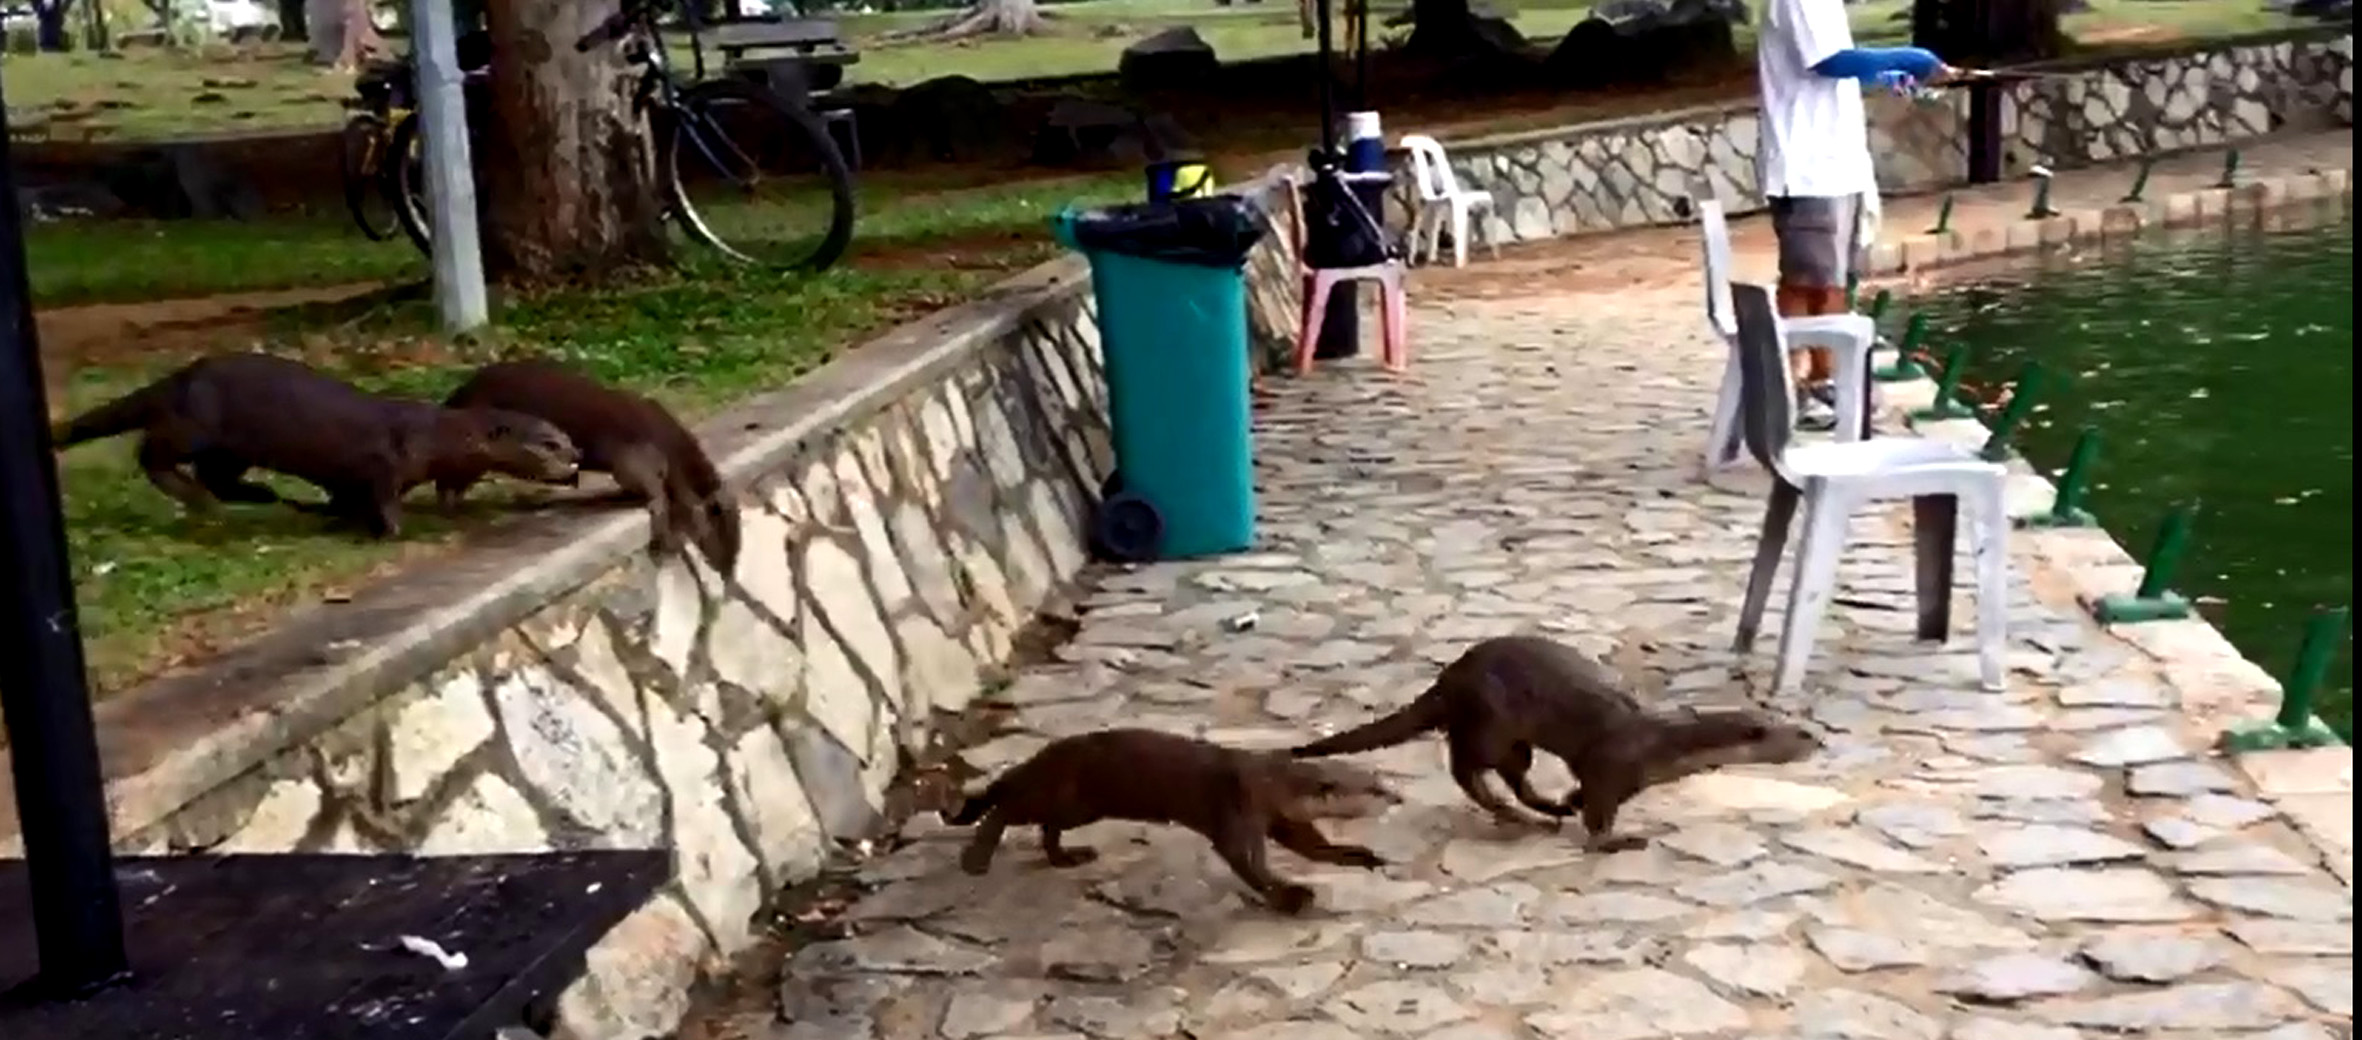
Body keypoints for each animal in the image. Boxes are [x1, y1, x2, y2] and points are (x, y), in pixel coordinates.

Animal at [52, 353, 580, 538]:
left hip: (232, 449)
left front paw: (340, 515)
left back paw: (262, 496)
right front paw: (392, 528)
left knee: (218, 477)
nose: (574, 459)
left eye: (568, 439)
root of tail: (181, 376)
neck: (437, 435)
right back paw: (196, 496)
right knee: (152, 452)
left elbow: (351, 496)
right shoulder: (386, 459)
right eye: (549, 443)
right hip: (196, 423)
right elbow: (381, 491)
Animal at [440, 358, 741, 571]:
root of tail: (459, 395)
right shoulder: (634, 456)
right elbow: (656, 495)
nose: (728, 570)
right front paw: (665, 538)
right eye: (727, 536)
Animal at [946, 728, 1400, 914]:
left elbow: (1314, 847)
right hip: (1070, 794)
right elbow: (1247, 861)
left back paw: (1069, 857)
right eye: (1374, 789)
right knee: (1006, 806)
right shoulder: (1238, 810)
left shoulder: (1280, 818)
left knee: (1042, 823)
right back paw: (976, 859)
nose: (1396, 796)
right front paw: (1290, 896)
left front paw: (1363, 856)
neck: (1269, 786)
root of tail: (1041, 758)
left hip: (1078, 804)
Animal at [1292, 634, 1820, 852]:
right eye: (1800, 734)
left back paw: (1546, 809)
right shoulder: (1613, 765)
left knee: (1511, 774)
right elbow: (1599, 815)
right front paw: (1617, 840)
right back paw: (1521, 816)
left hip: (1512, 739)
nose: (1820, 739)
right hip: (1488, 721)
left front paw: (1571, 799)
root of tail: (1449, 677)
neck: (1661, 744)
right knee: (1466, 767)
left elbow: (1583, 791)